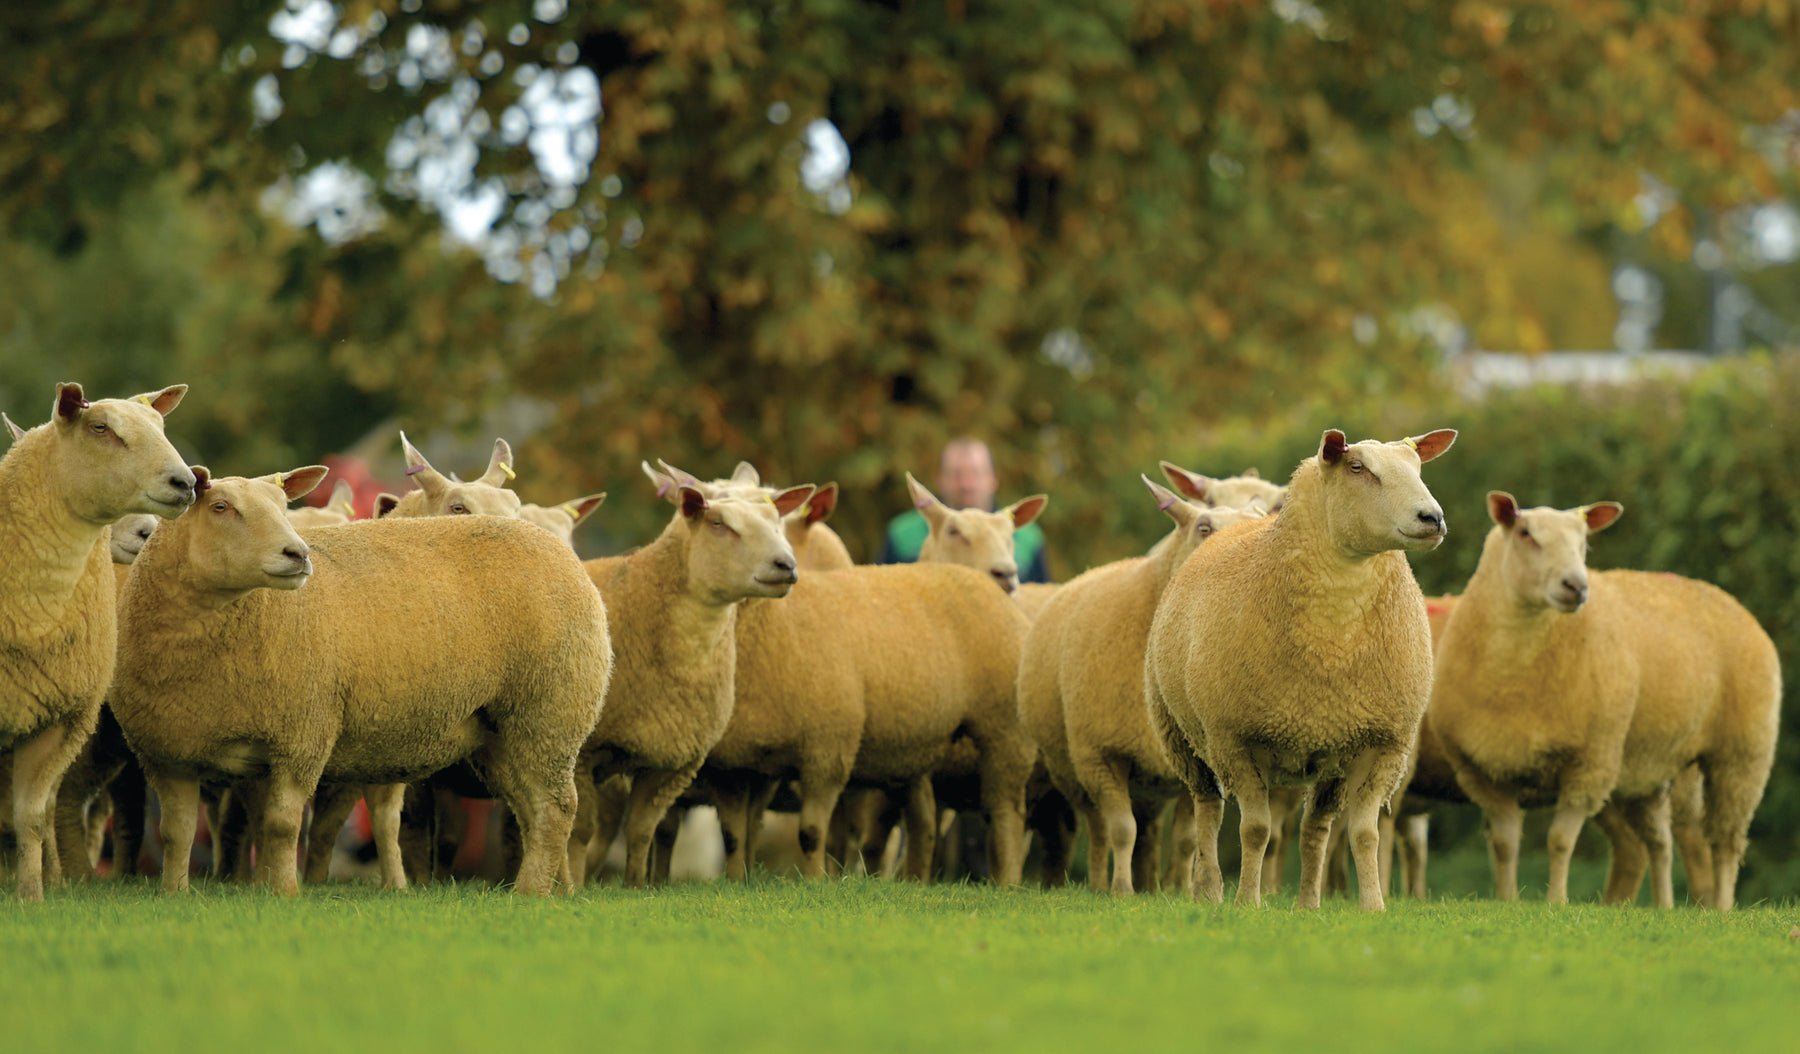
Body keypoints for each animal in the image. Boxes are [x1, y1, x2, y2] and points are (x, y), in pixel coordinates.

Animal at [111, 467, 612, 896]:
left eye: (283, 504)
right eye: (219, 506)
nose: (298, 555)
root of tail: (556, 547)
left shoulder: (303, 732)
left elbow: (282, 825)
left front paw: (284, 894)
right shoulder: (164, 752)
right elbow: (175, 831)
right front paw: (174, 892)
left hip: (550, 709)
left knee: (556, 808)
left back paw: (530, 894)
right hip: (499, 733)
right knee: (530, 809)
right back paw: (553, 890)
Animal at [567, 462, 813, 887]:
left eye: (776, 520)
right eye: (718, 523)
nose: (786, 565)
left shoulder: (671, 760)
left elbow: (643, 832)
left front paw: (635, 887)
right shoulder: (586, 750)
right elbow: (581, 830)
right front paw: (573, 890)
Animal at [1018, 471, 1263, 895]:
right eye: (1203, 528)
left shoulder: (1189, 762)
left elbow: (1186, 838)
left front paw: (1181, 890)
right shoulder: (1101, 754)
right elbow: (1121, 830)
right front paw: (1121, 891)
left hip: (1150, 779)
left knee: (1148, 833)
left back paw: (1154, 885)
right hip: (1076, 769)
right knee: (1100, 830)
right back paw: (1102, 885)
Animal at [1145, 428, 1456, 910]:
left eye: (1418, 466)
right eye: (1357, 468)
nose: (1433, 518)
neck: (1334, 637)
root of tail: (1239, 521)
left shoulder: (1385, 743)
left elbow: (1364, 834)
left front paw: (1374, 907)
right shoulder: (1235, 739)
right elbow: (1255, 830)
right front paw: (1247, 903)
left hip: (1333, 752)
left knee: (1317, 827)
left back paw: (1309, 903)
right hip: (1182, 736)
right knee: (1207, 812)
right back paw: (1209, 891)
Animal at [1427, 492, 1780, 910]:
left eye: (1584, 543)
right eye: (1526, 533)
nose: (1576, 586)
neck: (1512, 680)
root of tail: (1729, 600)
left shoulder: (1589, 763)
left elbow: (1560, 841)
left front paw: (1557, 901)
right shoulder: (1482, 772)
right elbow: (1504, 844)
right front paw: (1507, 900)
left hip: (1740, 754)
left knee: (1724, 841)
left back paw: (1721, 908)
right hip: (1644, 768)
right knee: (1657, 842)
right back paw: (1661, 907)